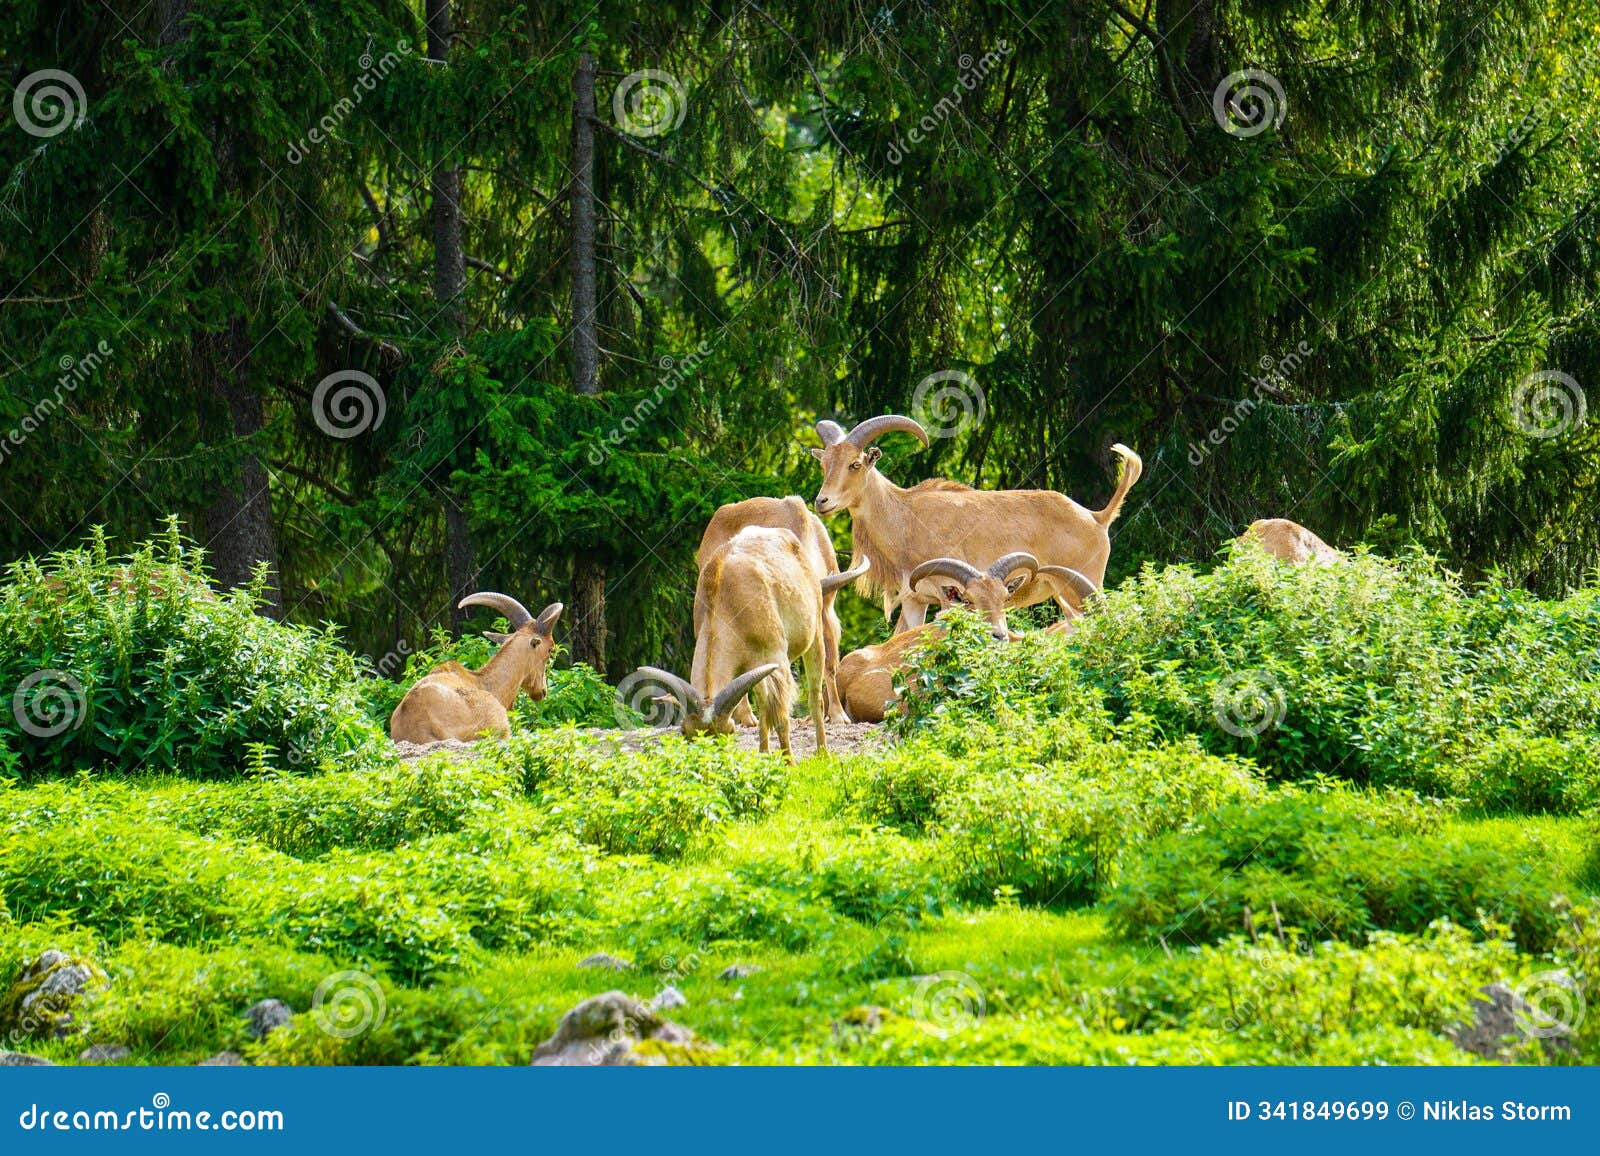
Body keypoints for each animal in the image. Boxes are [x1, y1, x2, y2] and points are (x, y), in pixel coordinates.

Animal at [644, 526, 866, 758]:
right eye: (684, 732)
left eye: (729, 732)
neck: (724, 599)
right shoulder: (753, 665)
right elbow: (764, 706)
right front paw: (764, 755)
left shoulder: (775, 657)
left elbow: (781, 717)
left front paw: (789, 761)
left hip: (815, 637)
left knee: (815, 697)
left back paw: (823, 752)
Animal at [810, 414, 1140, 632]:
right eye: (824, 464)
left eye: (855, 464)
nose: (822, 502)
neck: (904, 518)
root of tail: (1097, 518)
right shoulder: (916, 600)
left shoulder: (948, 595)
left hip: (1081, 587)